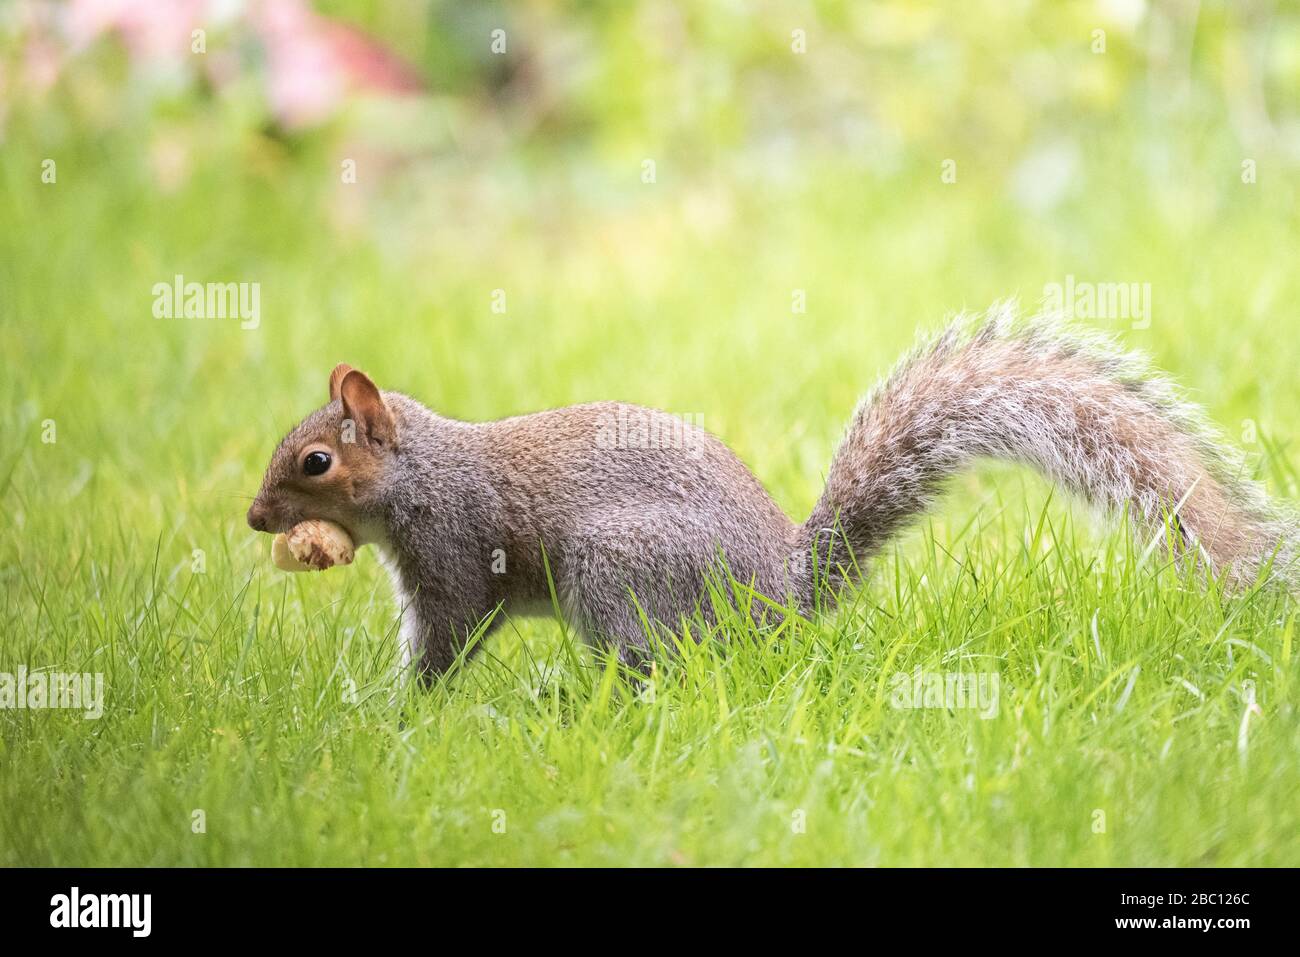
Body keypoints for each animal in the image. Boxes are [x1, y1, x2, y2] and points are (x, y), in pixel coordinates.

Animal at [248, 305, 1298, 680]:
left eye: (315, 463)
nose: (257, 518)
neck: (424, 472)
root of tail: (782, 589)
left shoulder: (458, 557)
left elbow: (448, 638)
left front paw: (403, 711)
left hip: (617, 572)